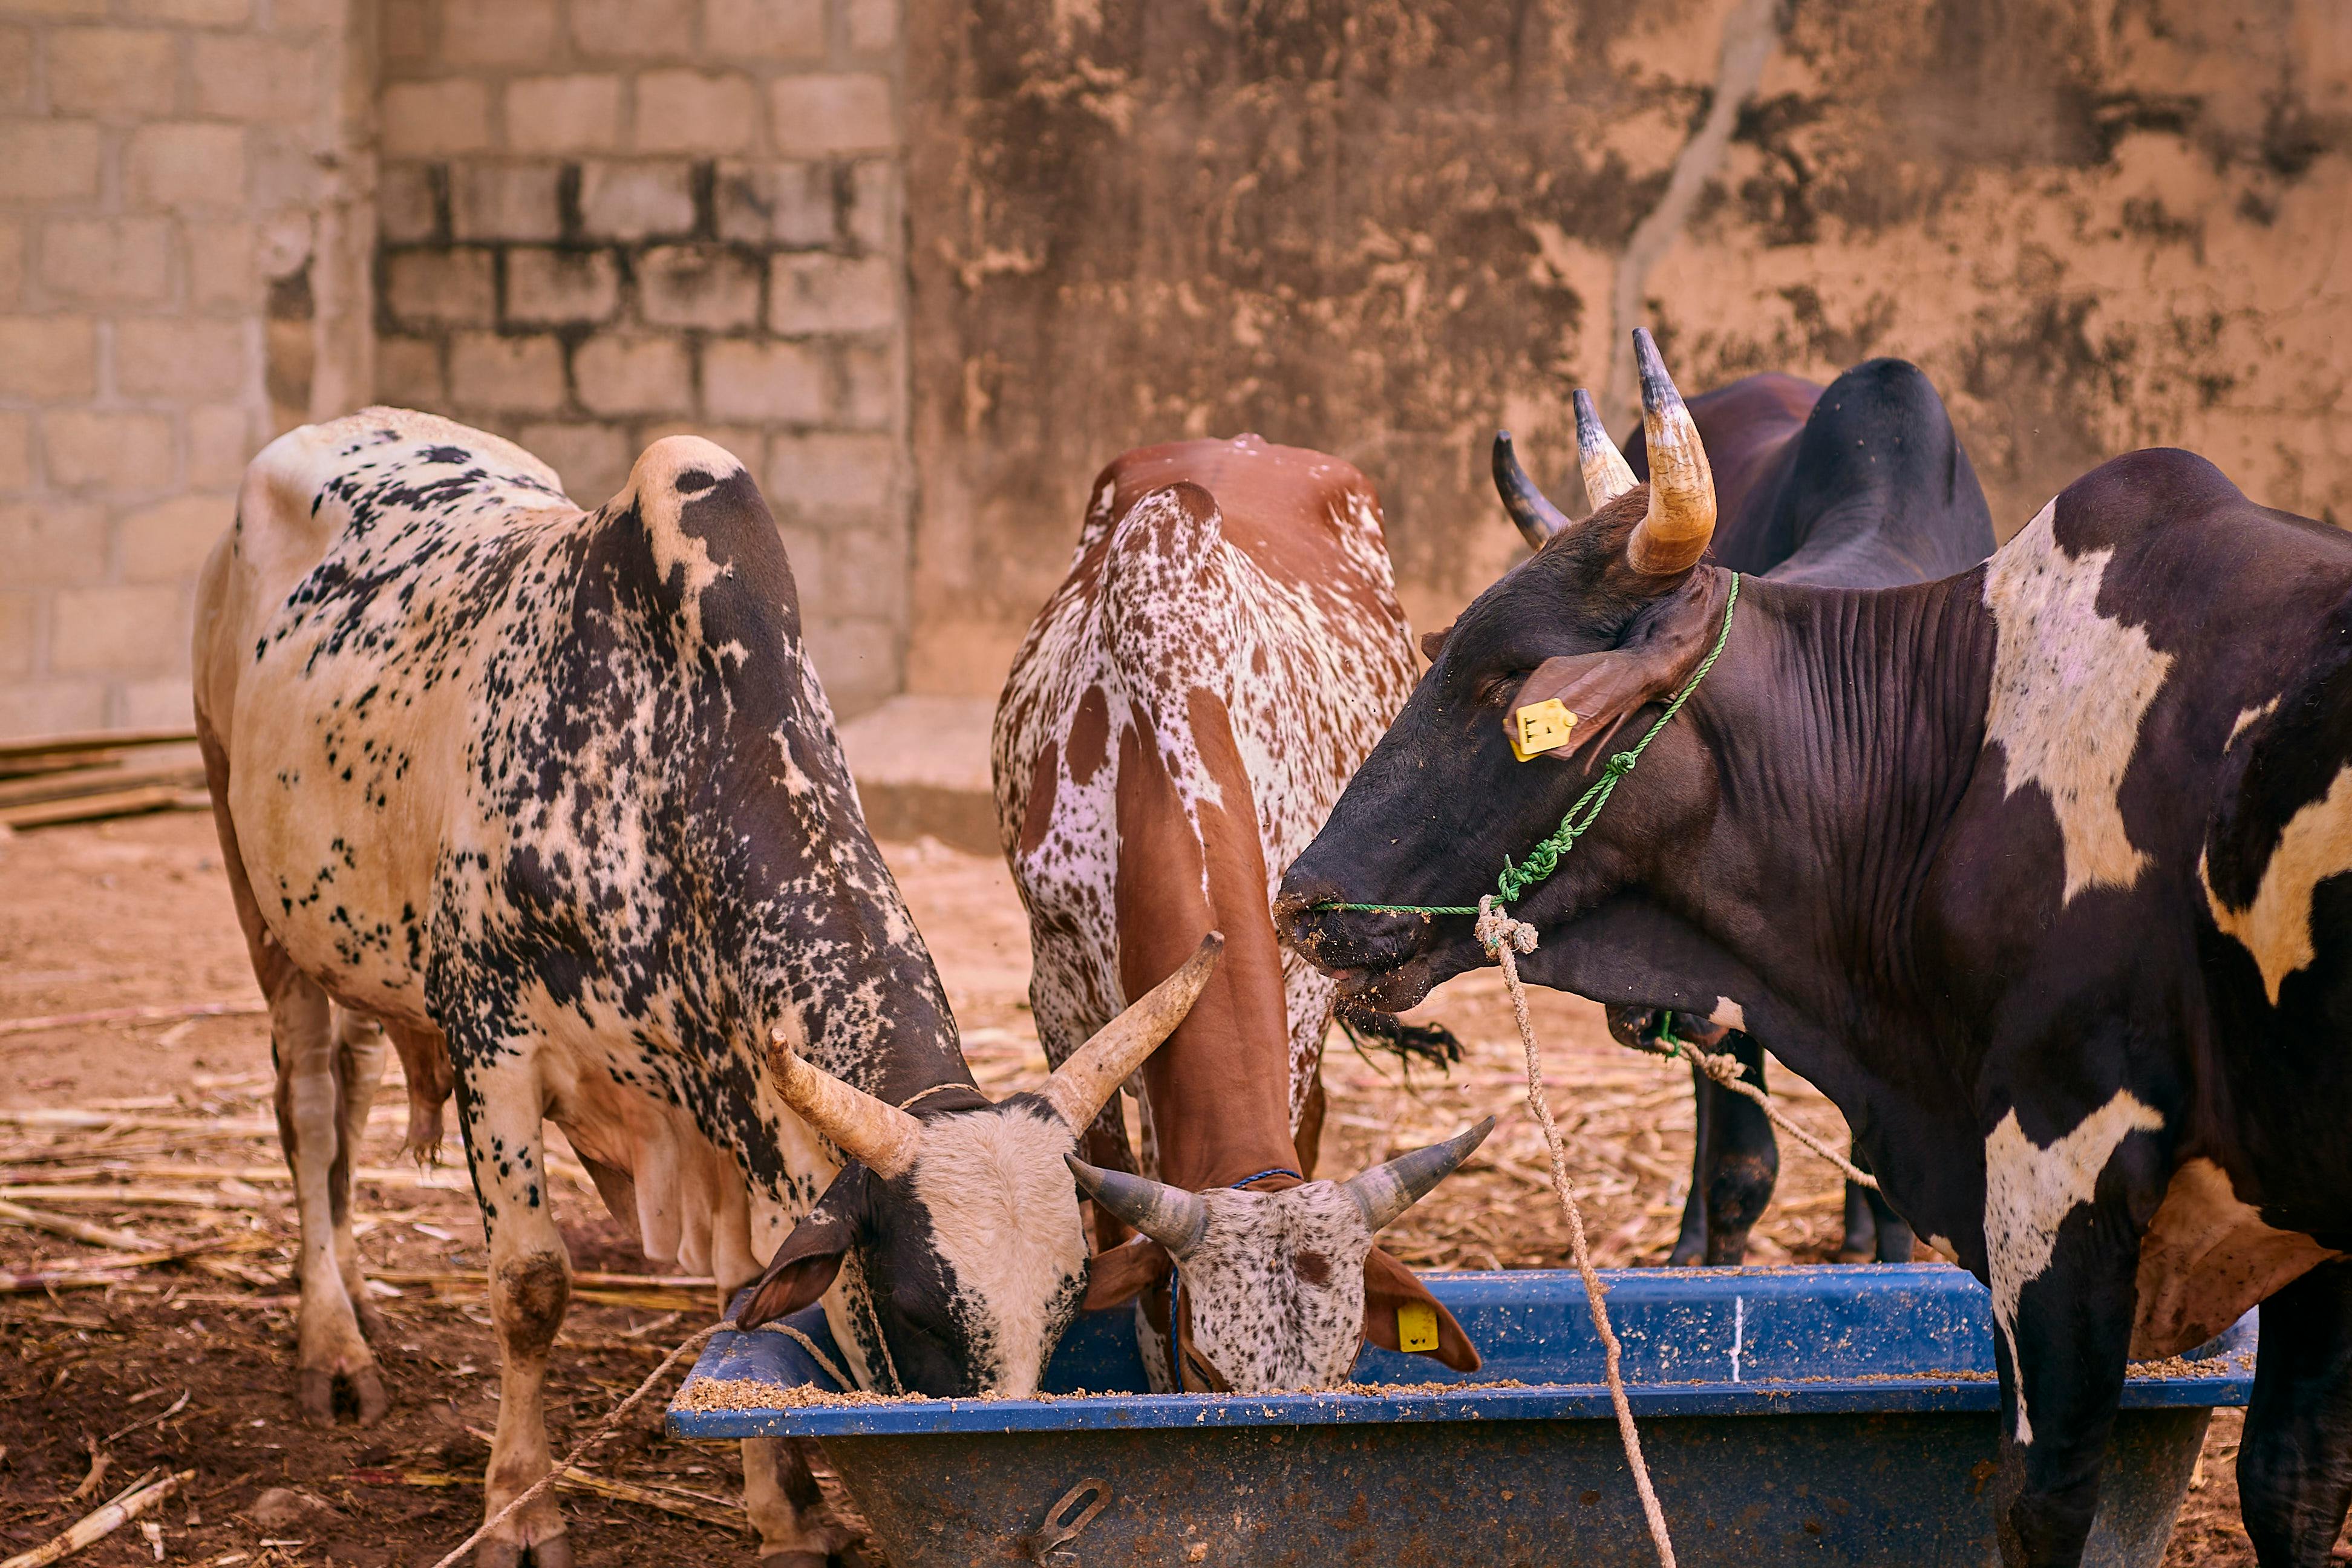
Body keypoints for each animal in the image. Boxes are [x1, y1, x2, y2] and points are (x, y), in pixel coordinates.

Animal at [193, 408, 1214, 1568]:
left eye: (1063, 1305)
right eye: (919, 1309)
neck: (666, 756)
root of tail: (353, 423)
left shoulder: (732, 1086)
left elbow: (744, 1301)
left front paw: (789, 1510)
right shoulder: (490, 1031)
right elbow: (530, 1286)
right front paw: (520, 1507)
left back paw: (359, 1302)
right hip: (256, 893)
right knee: (312, 1111)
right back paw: (332, 1341)